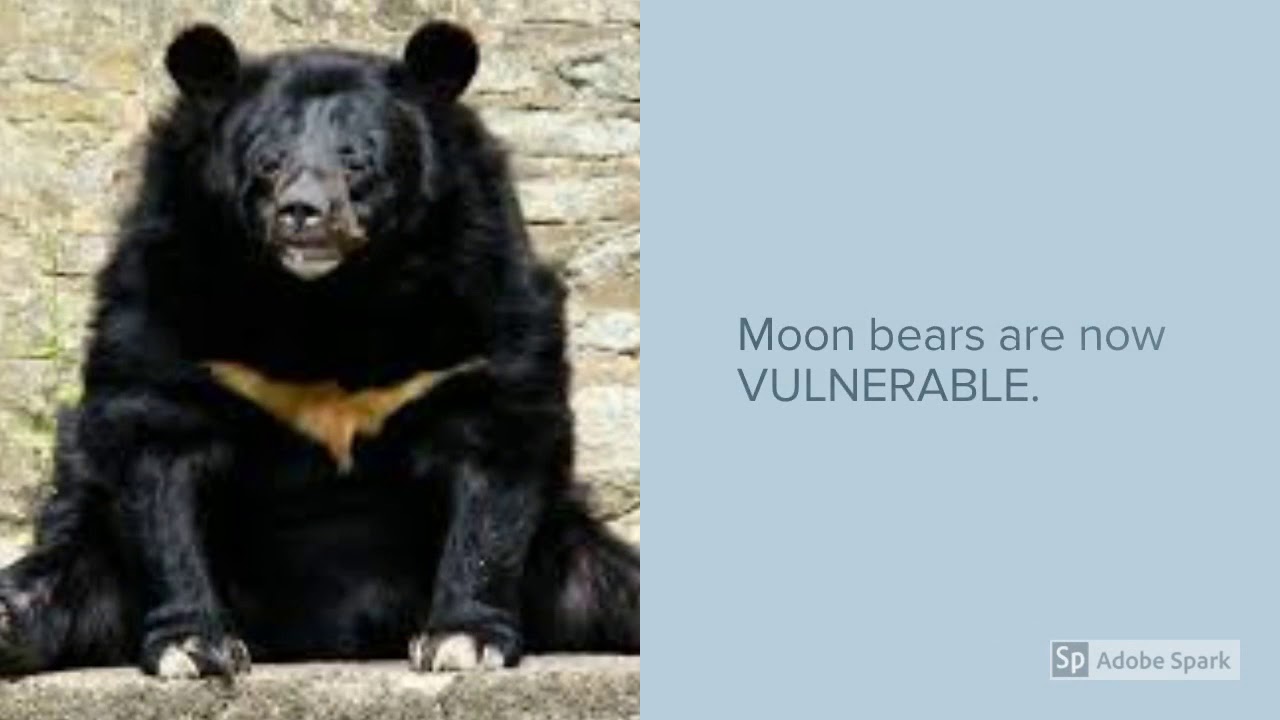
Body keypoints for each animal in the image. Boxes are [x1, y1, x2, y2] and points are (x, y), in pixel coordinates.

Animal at [0, 21, 639, 679]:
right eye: (267, 161)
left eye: (357, 158)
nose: (302, 213)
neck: (326, 299)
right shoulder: (166, 286)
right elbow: (157, 437)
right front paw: (194, 648)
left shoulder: (480, 287)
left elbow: (495, 442)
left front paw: (462, 641)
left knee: (616, 588)